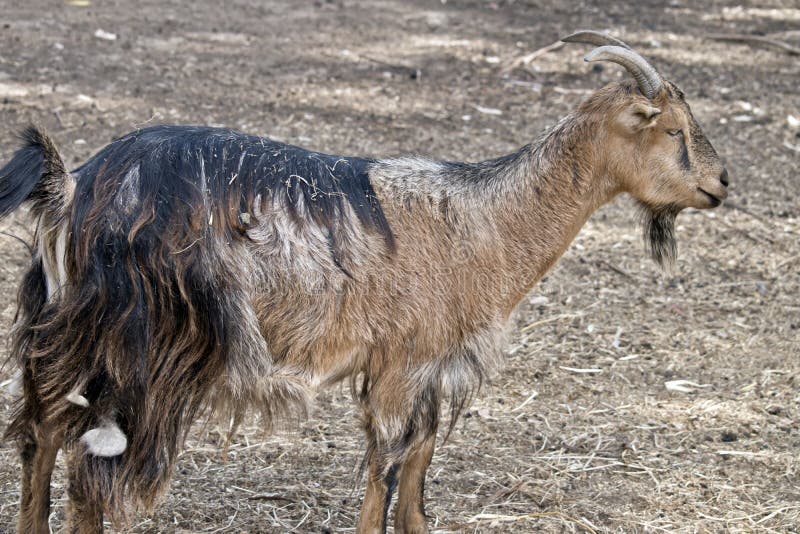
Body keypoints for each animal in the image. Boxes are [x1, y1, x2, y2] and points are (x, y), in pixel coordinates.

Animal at [0, 31, 728, 533]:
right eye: (672, 129)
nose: (722, 184)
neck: (485, 221)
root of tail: (70, 191)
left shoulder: (431, 364)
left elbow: (418, 463)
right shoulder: (402, 364)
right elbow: (387, 462)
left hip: (64, 333)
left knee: (41, 434)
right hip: (147, 349)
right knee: (91, 469)